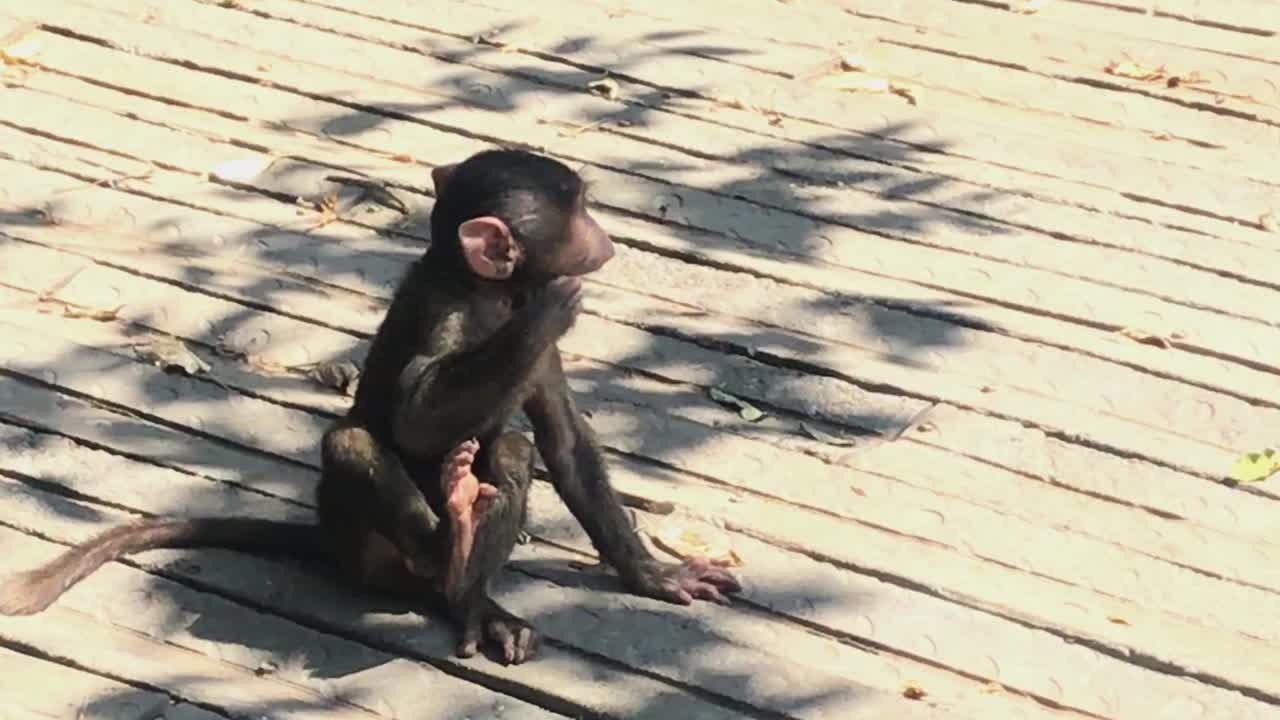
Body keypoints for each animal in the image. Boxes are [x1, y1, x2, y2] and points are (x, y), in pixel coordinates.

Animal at [0, 149, 741, 664]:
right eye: (580, 208)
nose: (605, 237)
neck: (484, 291)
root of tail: (332, 540)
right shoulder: (445, 312)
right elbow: (414, 417)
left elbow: (564, 442)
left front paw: (653, 574)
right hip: (365, 547)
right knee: (354, 446)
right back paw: (449, 543)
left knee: (510, 450)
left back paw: (471, 596)